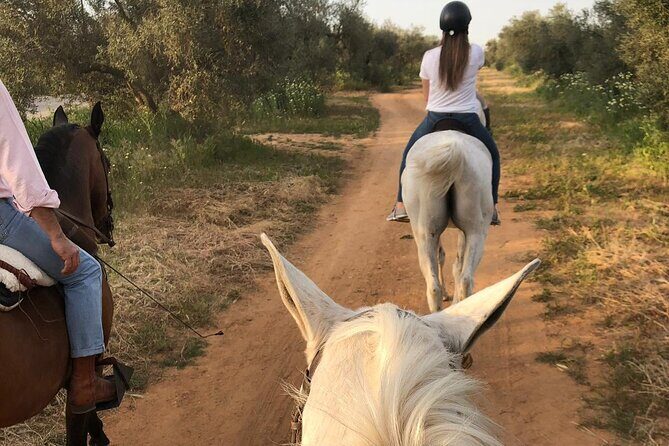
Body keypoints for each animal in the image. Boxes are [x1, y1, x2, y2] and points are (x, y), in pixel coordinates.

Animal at [402, 110, 494, 312]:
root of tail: (454, 154)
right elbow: (454, 262)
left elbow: (445, 258)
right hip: (475, 230)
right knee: (464, 278)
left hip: (425, 232)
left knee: (435, 285)